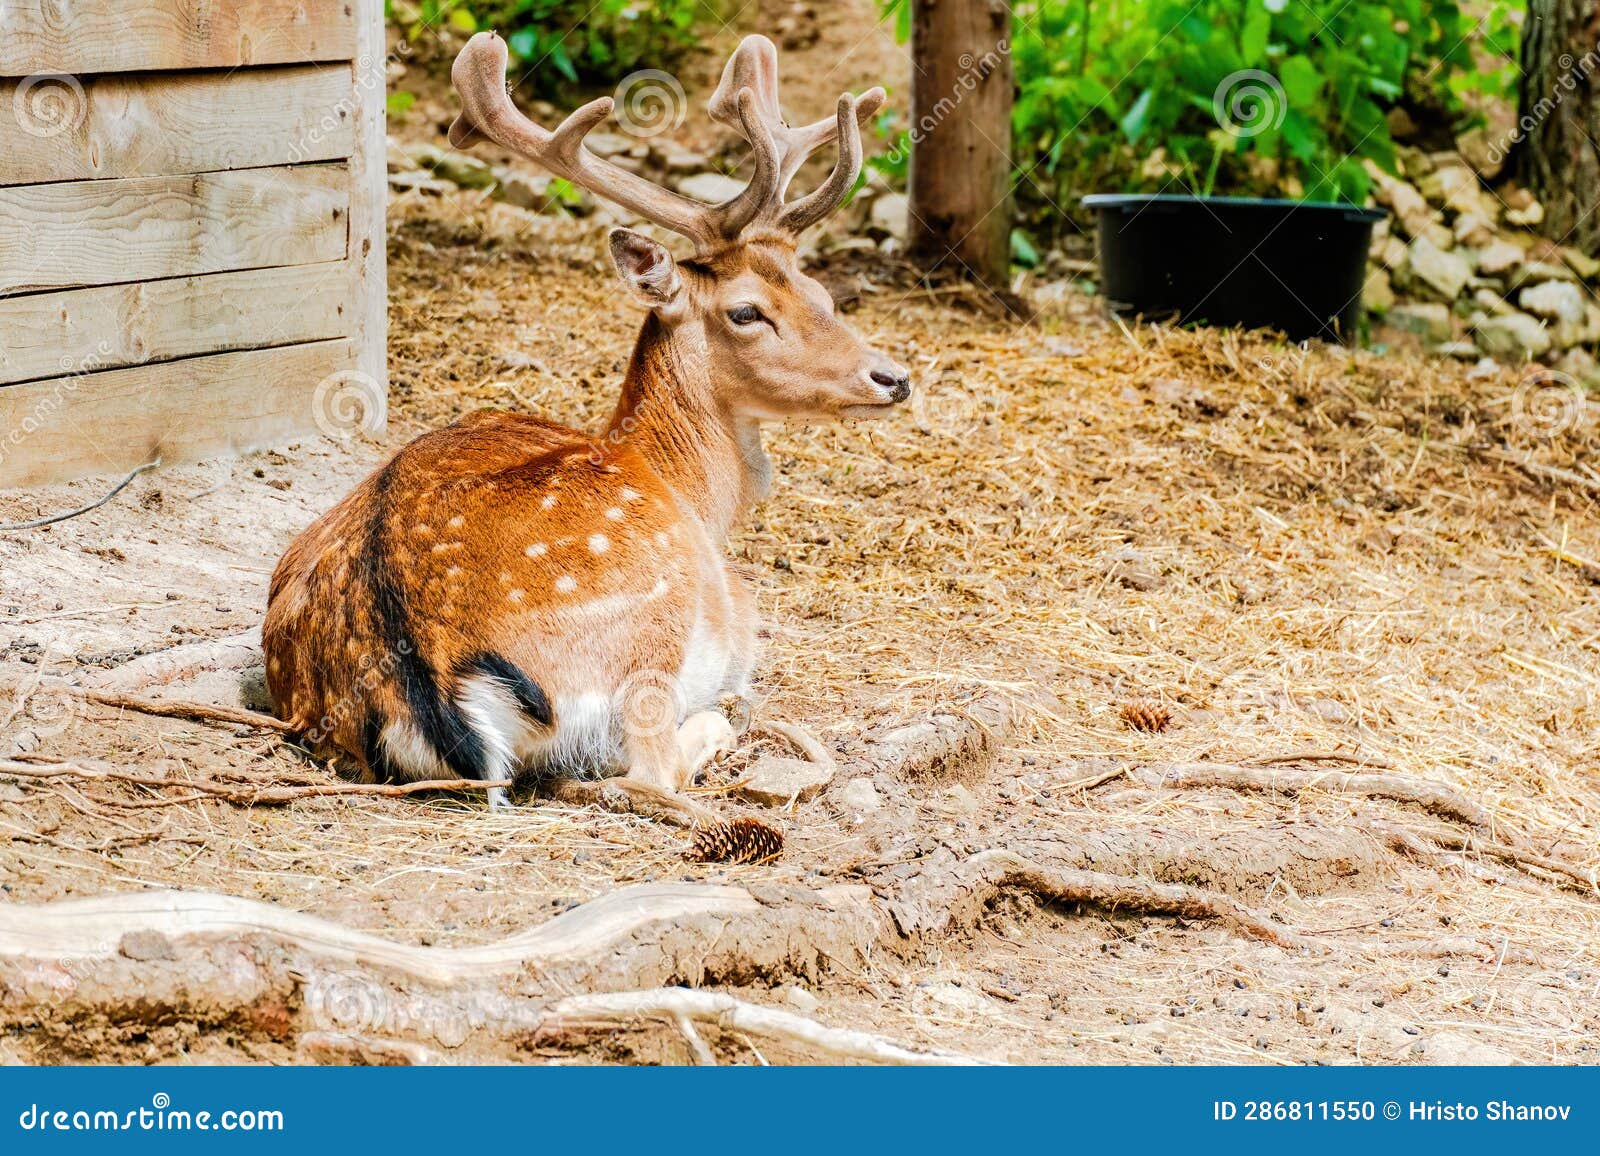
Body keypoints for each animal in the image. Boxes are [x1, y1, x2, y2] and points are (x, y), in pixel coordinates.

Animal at [262, 31, 910, 820]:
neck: (690, 489)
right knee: (649, 771)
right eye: (747, 311)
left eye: (820, 293)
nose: (892, 377)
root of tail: (433, 689)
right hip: (651, 636)